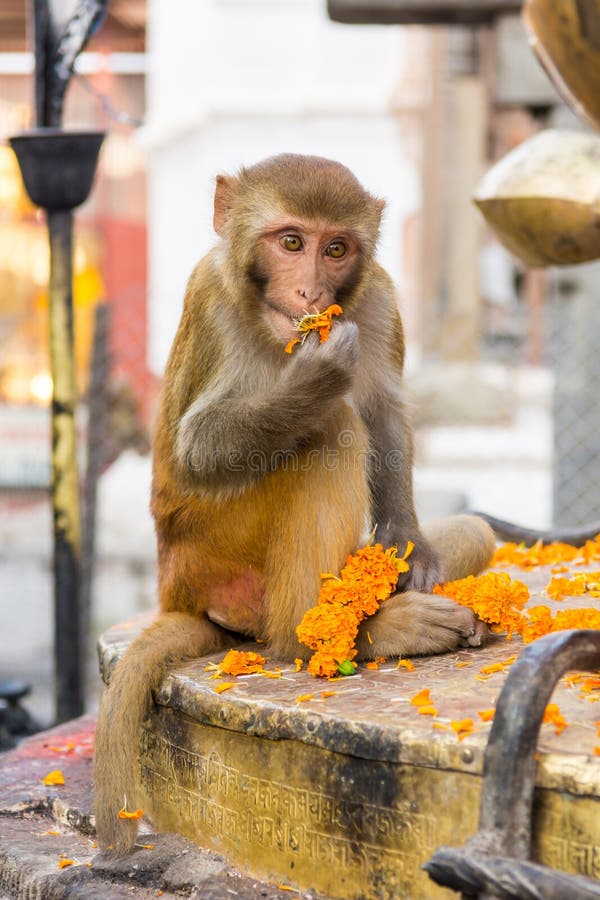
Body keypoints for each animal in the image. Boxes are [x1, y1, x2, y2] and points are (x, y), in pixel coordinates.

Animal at [94, 154, 496, 856]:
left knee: (470, 529)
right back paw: (343, 634)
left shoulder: (378, 295)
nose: (311, 294)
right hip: (212, 548)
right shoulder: (211, 294)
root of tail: (180, 592)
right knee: (329, 430)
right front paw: (317, 372)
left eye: (335, 249)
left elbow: (386, 413)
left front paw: (409, 549)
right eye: (290, 242)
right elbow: (198, 447)